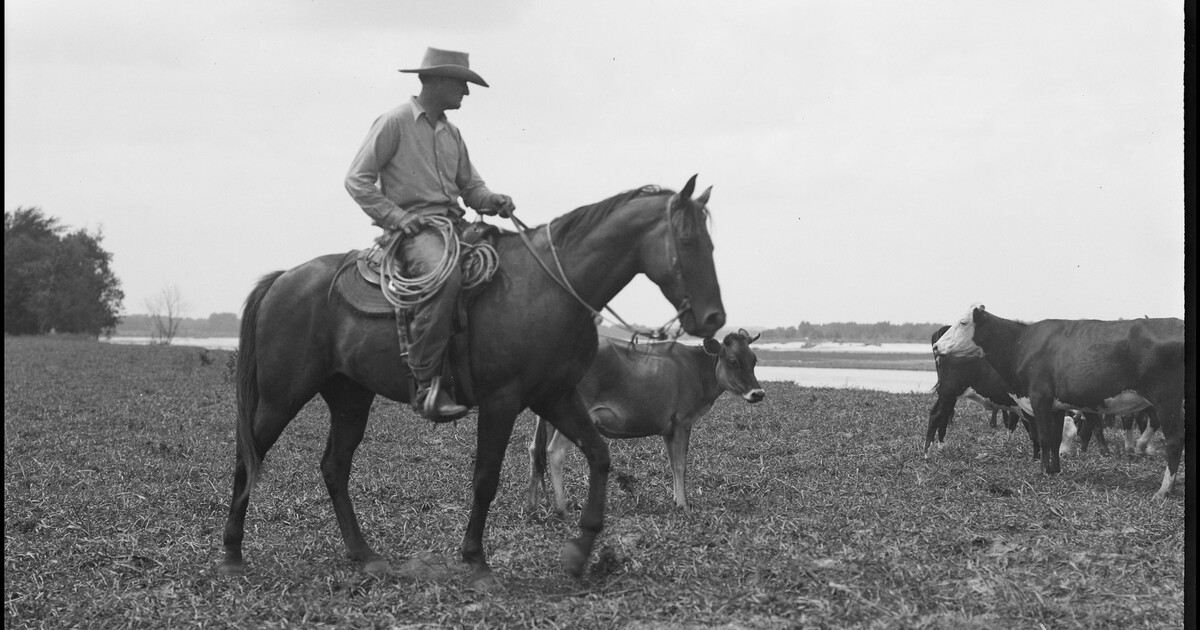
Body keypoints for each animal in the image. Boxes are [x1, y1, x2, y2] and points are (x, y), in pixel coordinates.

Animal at [526, 329, 765, 515]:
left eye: (754, 360)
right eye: (733, 361)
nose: (758, 393)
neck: (698, 370)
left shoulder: (668, 428)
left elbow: (673, 463)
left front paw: (676, 499)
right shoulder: (683, 420)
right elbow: (681, 464)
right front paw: (684, 505)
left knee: (535, 449)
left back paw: (532, 505)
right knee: (555, 451)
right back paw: (562, 509)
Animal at [933, 304, 1185, 498]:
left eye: (963, 322)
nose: (936, 347)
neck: (1021, 343)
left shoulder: (1039, 399)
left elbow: (1044, 438)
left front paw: (1042, 471)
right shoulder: (1055, 406)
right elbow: (1054, 439)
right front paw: (1055, 469)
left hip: (1166, 400)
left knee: (1174, 441)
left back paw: (1163, 489)